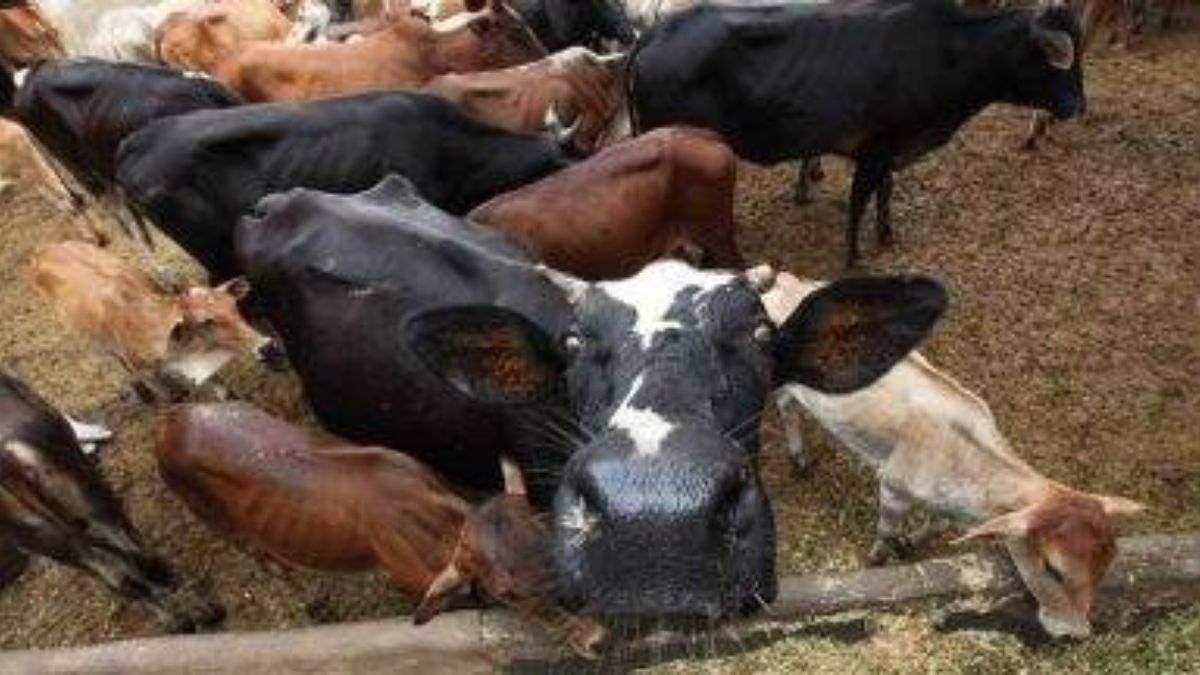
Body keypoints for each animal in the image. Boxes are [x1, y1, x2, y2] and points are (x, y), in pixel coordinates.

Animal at [0, 369, 223, 630]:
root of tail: (11, 464)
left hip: (49, 538)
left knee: (123, 577)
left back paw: (179, 621)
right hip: (94, 504)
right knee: (142, 559)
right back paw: (203, 610)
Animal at [28, 241, 277, 403]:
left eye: (234, 307)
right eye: (206, 322)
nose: (267, 346)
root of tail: (44, 250)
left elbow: (225, 392)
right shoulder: (147, 372)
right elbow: (170, 397)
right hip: (93, 343)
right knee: (114, 361)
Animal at [156, 401, 604, 653]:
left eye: (548, 534)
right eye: (509, 593)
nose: (597, 637)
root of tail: (173, 419)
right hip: (223, 524)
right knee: (267, 560)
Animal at [628, 0, 1086, 268]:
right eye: (1052, 57)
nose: (1079, 105)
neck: (947, 55)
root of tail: (653, 33)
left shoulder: (893, 151)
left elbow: (884, 194)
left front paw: (886, 236)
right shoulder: (873, 151)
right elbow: (857, 205)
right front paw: (853, 260)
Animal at [761, 269, 1145, 638]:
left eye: (1107, 562)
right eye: (1053, 567)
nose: (1076, 632)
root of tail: (786, 282)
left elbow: (936, 525)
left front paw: (911, 541)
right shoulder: (893, 486)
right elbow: (885, 532)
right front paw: (877, 560)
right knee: (786, 405)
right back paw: (799, 458)